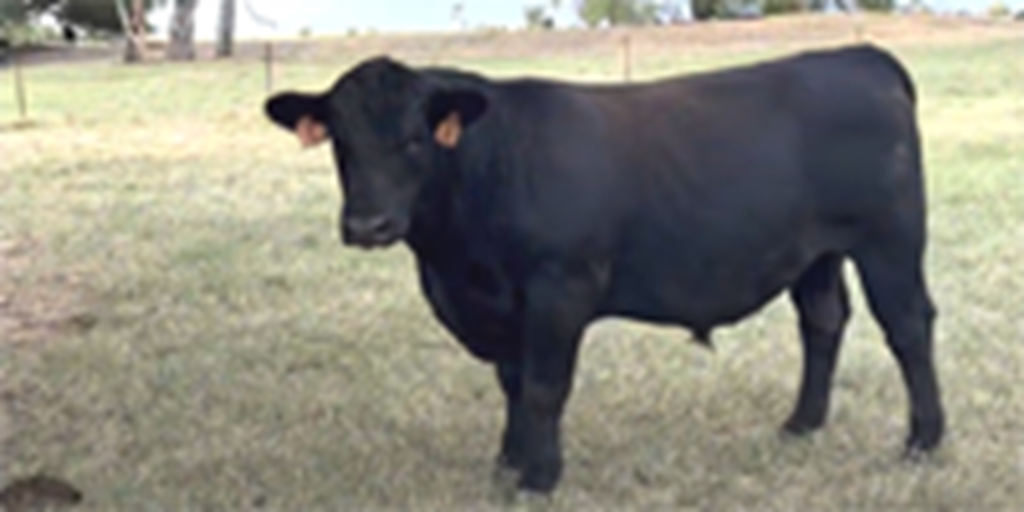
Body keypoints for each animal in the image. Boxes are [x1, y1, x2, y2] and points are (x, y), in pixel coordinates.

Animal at [263, 44, 946, 495]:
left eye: (414, 139)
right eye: (340, 141)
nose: (367, 225)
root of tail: (858, 55)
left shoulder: (559, 287)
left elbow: (543, 387)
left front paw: (539, 478)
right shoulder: (502, 305)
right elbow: (513, 384)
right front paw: (507, 464)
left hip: (890, 242)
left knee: (909, 328)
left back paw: (924, 441)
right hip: (815, 254)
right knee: (823, 322)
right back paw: (801, 425)